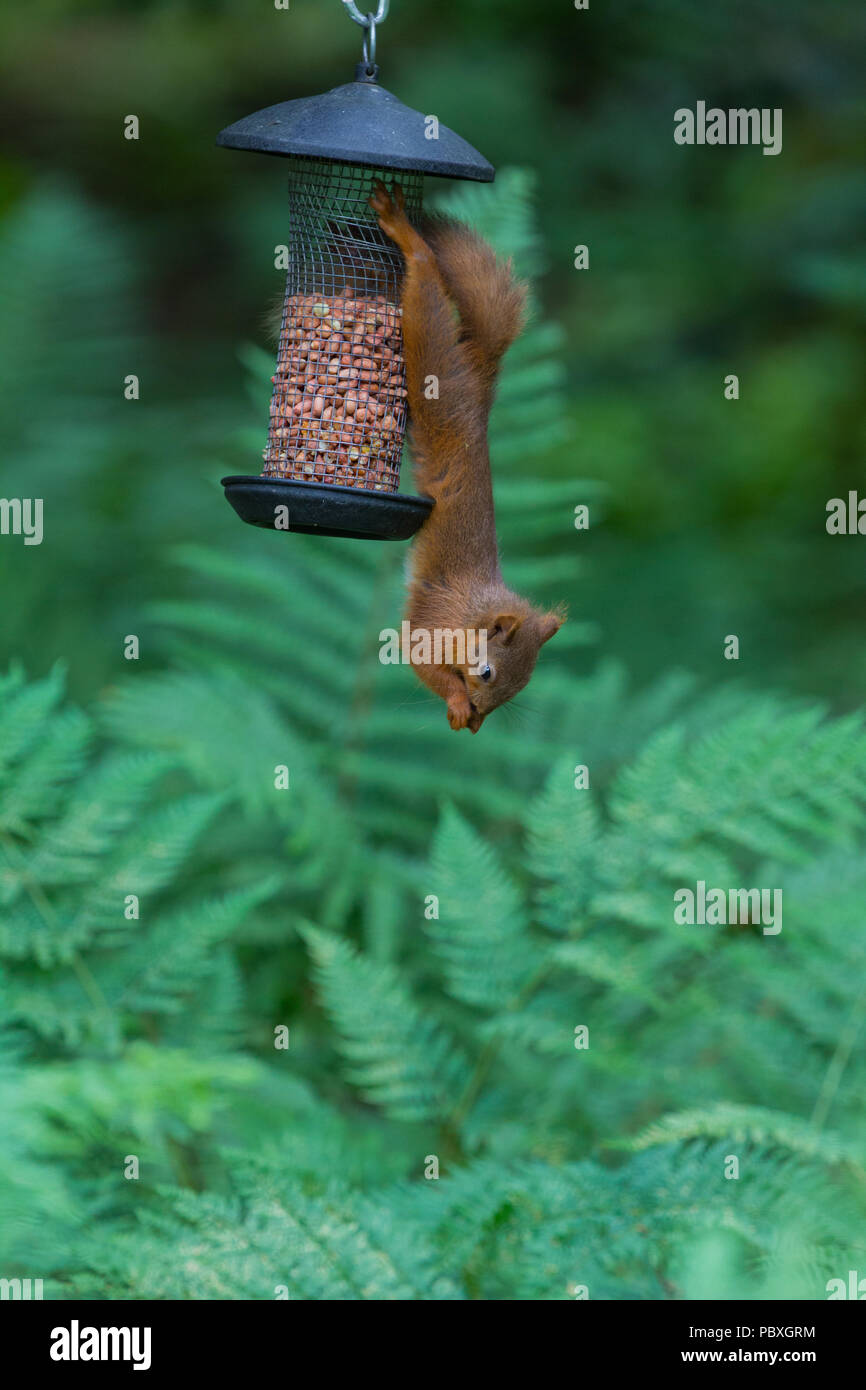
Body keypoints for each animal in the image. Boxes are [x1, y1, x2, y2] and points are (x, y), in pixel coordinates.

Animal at [369, 181, 564, 733]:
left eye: (520, 688)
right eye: (485, 672)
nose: (480, 717)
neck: (473, 616)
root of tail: (478, 395)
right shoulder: (433, 620)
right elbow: (420, 661)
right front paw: (457, 703)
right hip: (438, 380)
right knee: (427, 305)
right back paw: (410, 240)